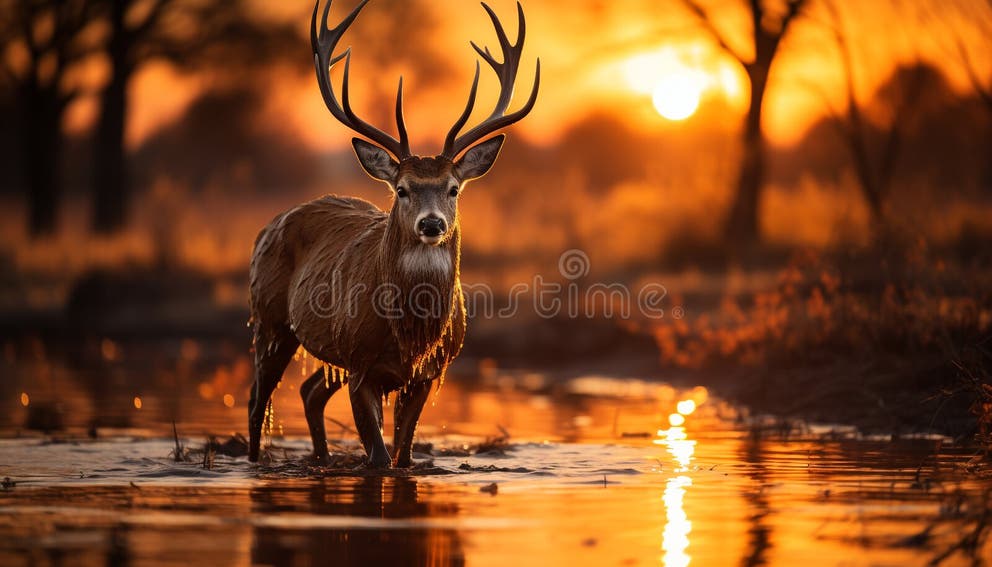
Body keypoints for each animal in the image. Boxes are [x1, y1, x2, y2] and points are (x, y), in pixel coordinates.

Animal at [247, 0, 539, 468]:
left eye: (453, 188)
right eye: (402, 189)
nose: (432, 224)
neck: (409, 331)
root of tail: (267, 226)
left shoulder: (427, 373)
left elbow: (403, 456)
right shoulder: (361, 363)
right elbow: (380, 458)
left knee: (309, 392)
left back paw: (321, 460)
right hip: (270, 320)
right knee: (258, 399)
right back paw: (254, 464)